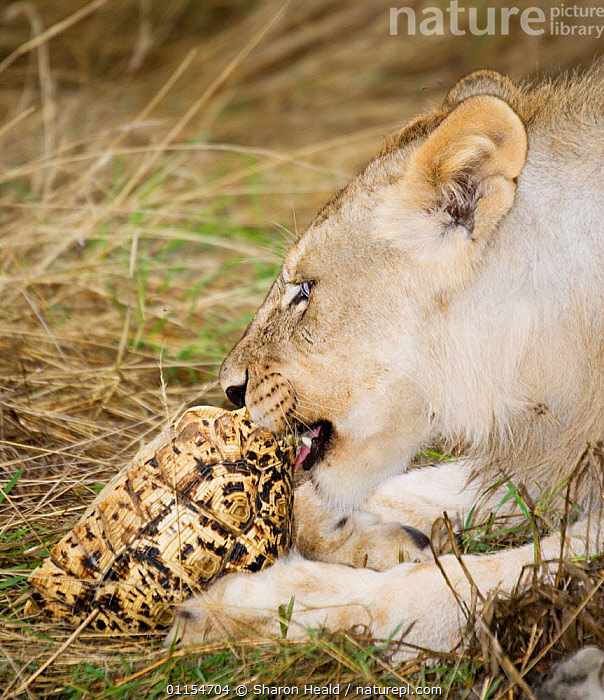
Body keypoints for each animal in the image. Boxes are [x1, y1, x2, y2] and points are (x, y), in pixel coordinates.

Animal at [167, 65, 604, 665]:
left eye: (304, 291)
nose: (230, 388)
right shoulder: (547, 445)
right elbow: (422, 487)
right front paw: (337, 527)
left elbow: (456, 584)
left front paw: (257, 605)